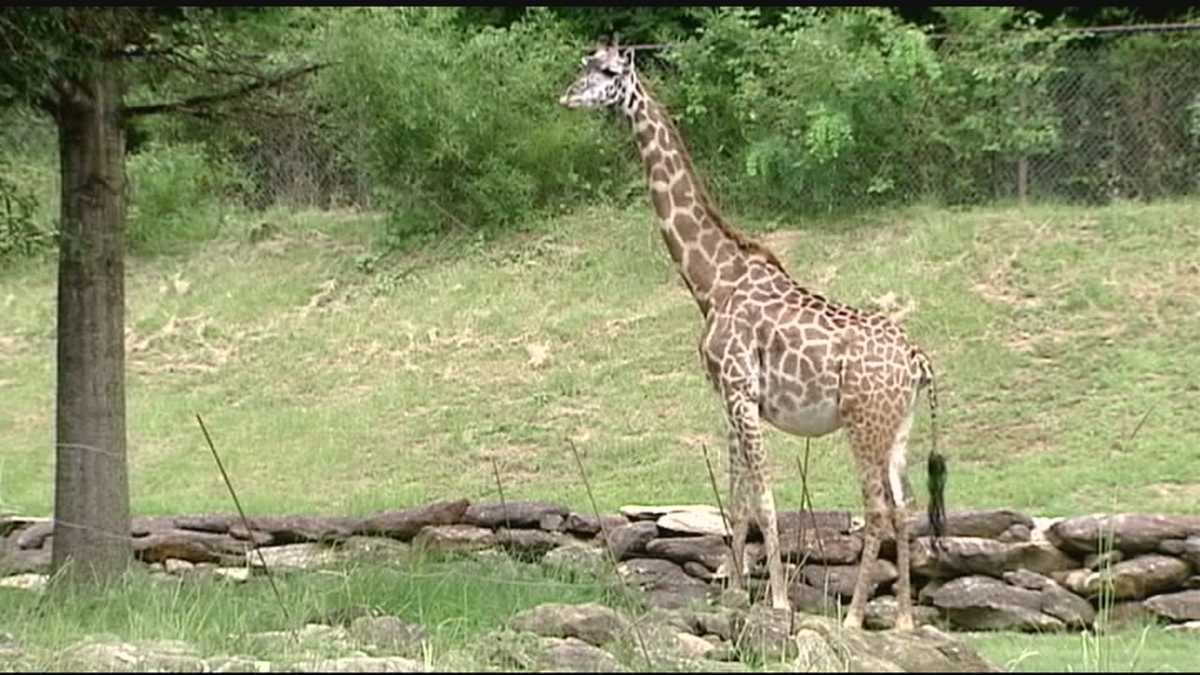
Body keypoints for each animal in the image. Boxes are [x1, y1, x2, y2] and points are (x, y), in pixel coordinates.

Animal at [560, 39, 948, 630]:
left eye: (606, 72)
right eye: (583, 64)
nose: (566, 97)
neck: (711, 282)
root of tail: (916, 359)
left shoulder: (741, 390)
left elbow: (763, 497)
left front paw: (779, 600)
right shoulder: (728, 398)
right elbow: (735, 498)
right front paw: (736, 592)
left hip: (863, 424)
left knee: (878, 509)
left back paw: (855, 616)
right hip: (896, 429)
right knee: (904, 508)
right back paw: (902, 618)